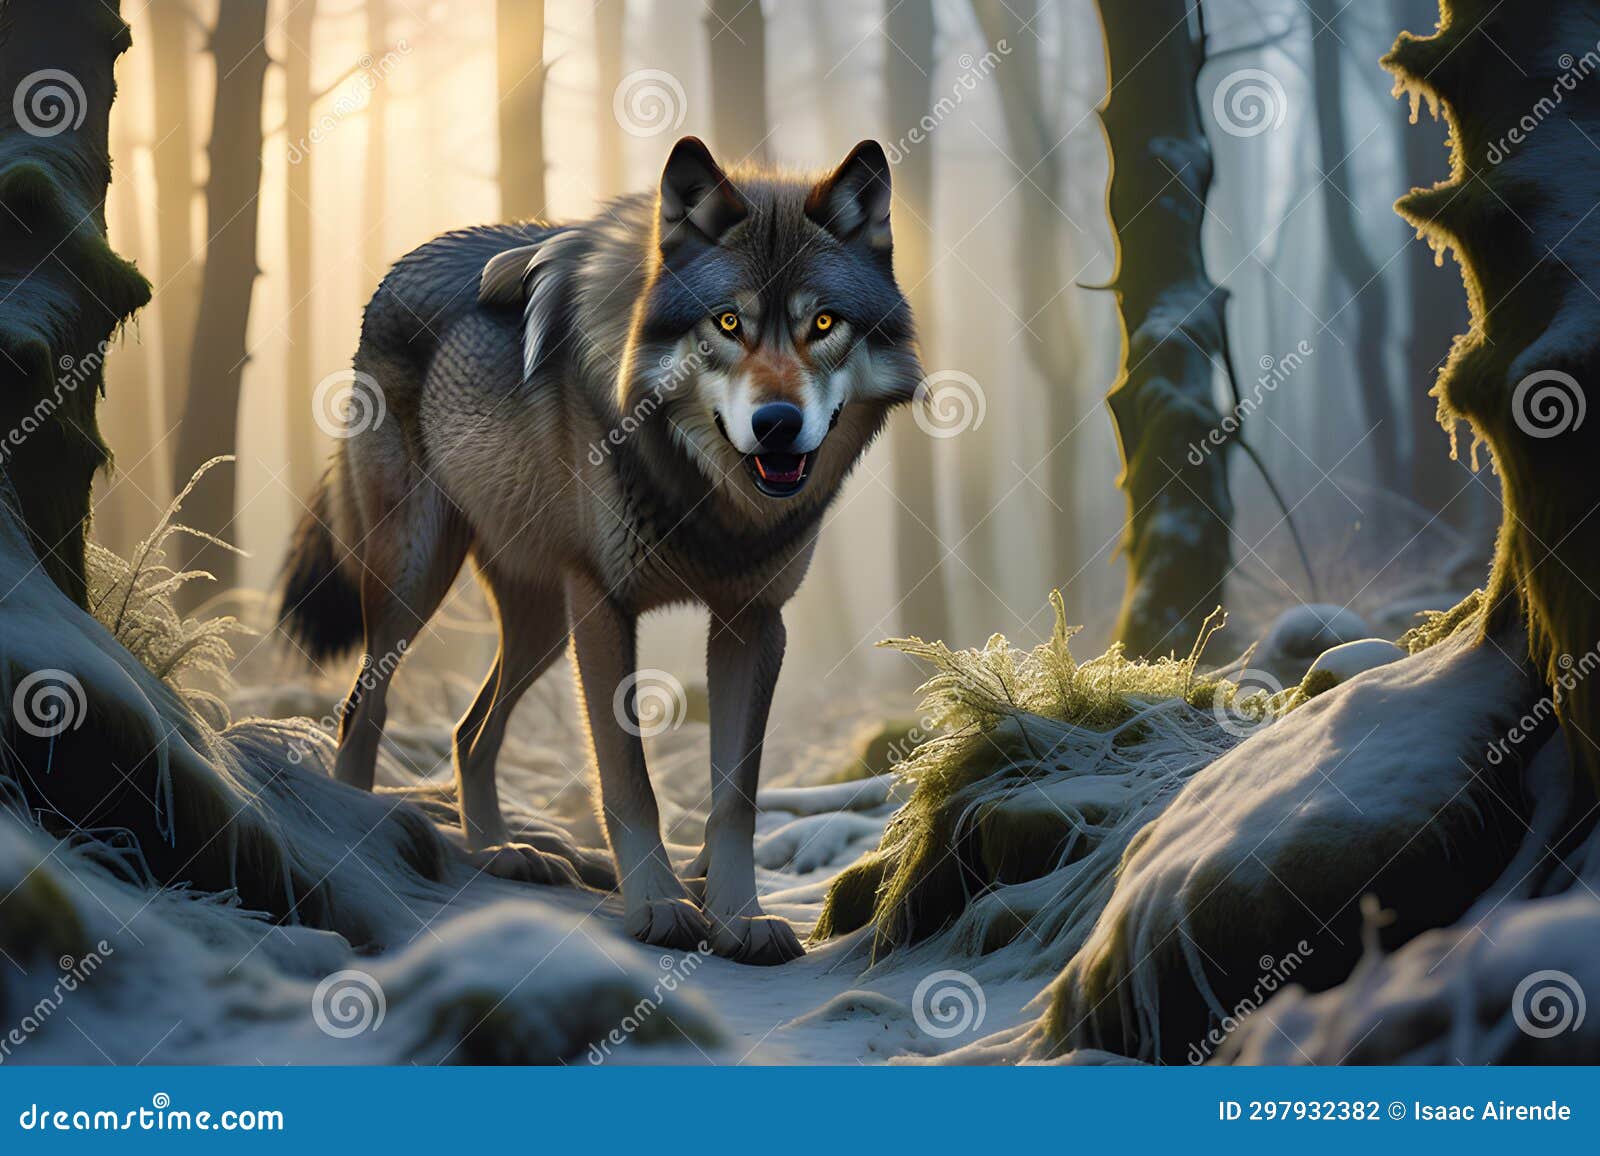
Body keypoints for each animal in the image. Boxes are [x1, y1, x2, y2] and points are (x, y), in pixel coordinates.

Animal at [278, 137, 922, 964]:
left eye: (825, 323)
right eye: (727, 322)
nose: (777, 424)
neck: (711, 503)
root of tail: (398, 269)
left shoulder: (752, 620)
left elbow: (735, 798)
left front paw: (739, 917)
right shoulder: (606, 605)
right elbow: (629, 779)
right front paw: (658, 906)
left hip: (545, 620)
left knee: (468, 731)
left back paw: (502, 853)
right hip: (422, 583)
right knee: (366, 706)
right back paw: (365, 838)